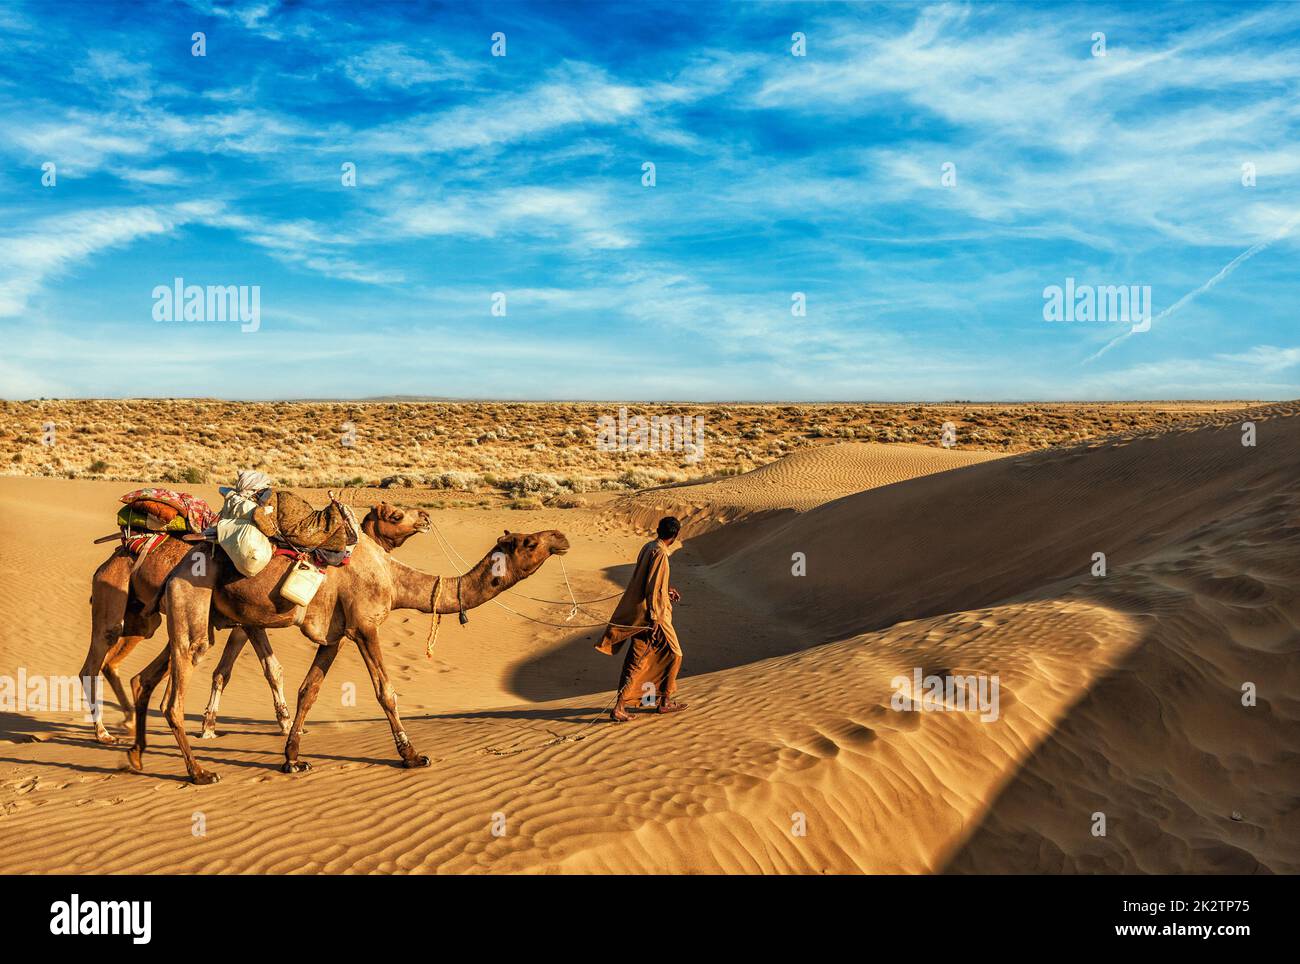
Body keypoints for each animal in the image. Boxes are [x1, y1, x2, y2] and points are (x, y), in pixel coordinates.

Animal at [80, 503, 430, 745]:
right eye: (396, 515)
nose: (425, 516)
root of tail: (114, 555)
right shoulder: (244, 623)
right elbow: (239, 671)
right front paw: (215, 726)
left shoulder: (245, 623)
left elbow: (257, 669)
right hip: (115, 603)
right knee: (94, 664)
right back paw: (104, 732)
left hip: (143, 620)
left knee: (131, 667)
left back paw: (128, 721)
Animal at [126, 526, 570, 783]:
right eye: (531, 541)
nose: (562, 537)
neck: (393, 577)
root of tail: (173, 567)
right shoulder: (364, 626)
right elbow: (385, 691)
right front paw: (412, 756)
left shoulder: (334, 637)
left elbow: (309, 691)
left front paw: (292, 760)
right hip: (193, 603)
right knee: (174, 697)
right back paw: (199, 772)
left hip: (197, 614)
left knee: (145, 677)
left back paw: (136, 756)